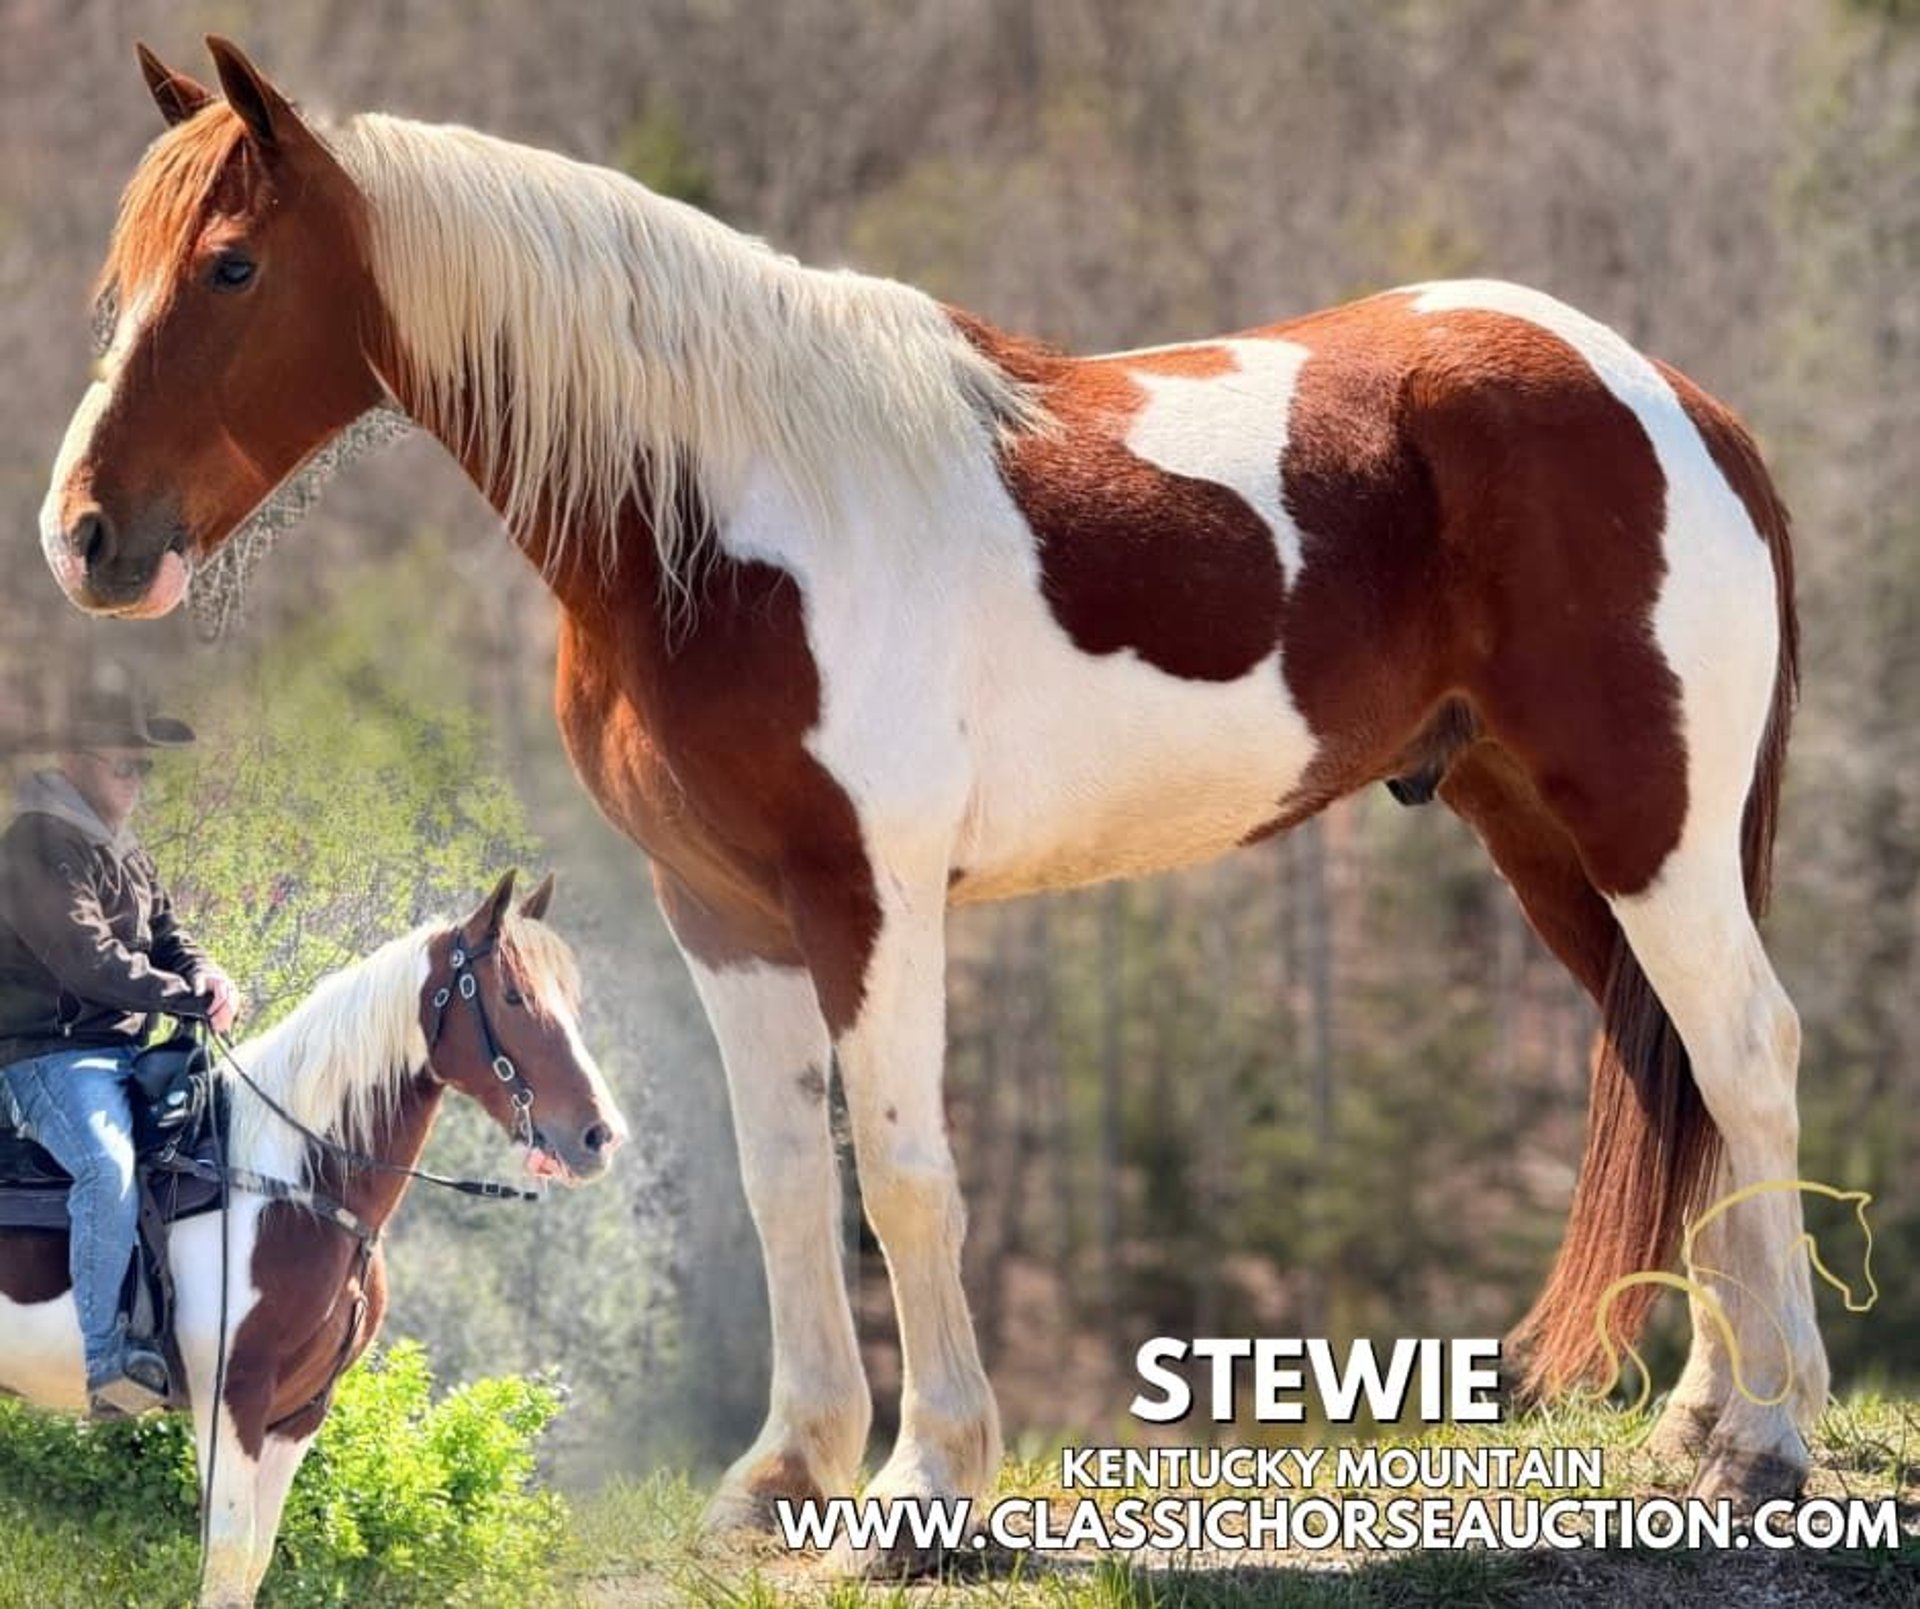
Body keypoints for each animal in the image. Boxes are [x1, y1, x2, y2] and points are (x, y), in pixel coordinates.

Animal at [0, 870, 627, 1607]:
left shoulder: (299, 1411)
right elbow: (225, 1558)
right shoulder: (232, 1398)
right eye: (512, 995)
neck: (295, 1177)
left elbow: (252, 1562)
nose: (599, 1136)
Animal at [38, 37, 1821, 1559]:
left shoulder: (869, 896)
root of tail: (1676, 401)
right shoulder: (722, 910)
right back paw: (1696, 1424)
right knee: (1680, 1069)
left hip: (1647, 819)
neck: (715, 516)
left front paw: (923, 1492)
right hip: (1545, 830)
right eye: (121, 277)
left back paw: (1768, 1442)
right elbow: (782, 1180)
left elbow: (901, 1177)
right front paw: (784, 1477)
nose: (86, 538)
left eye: (232, 265)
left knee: (1747, 1051)